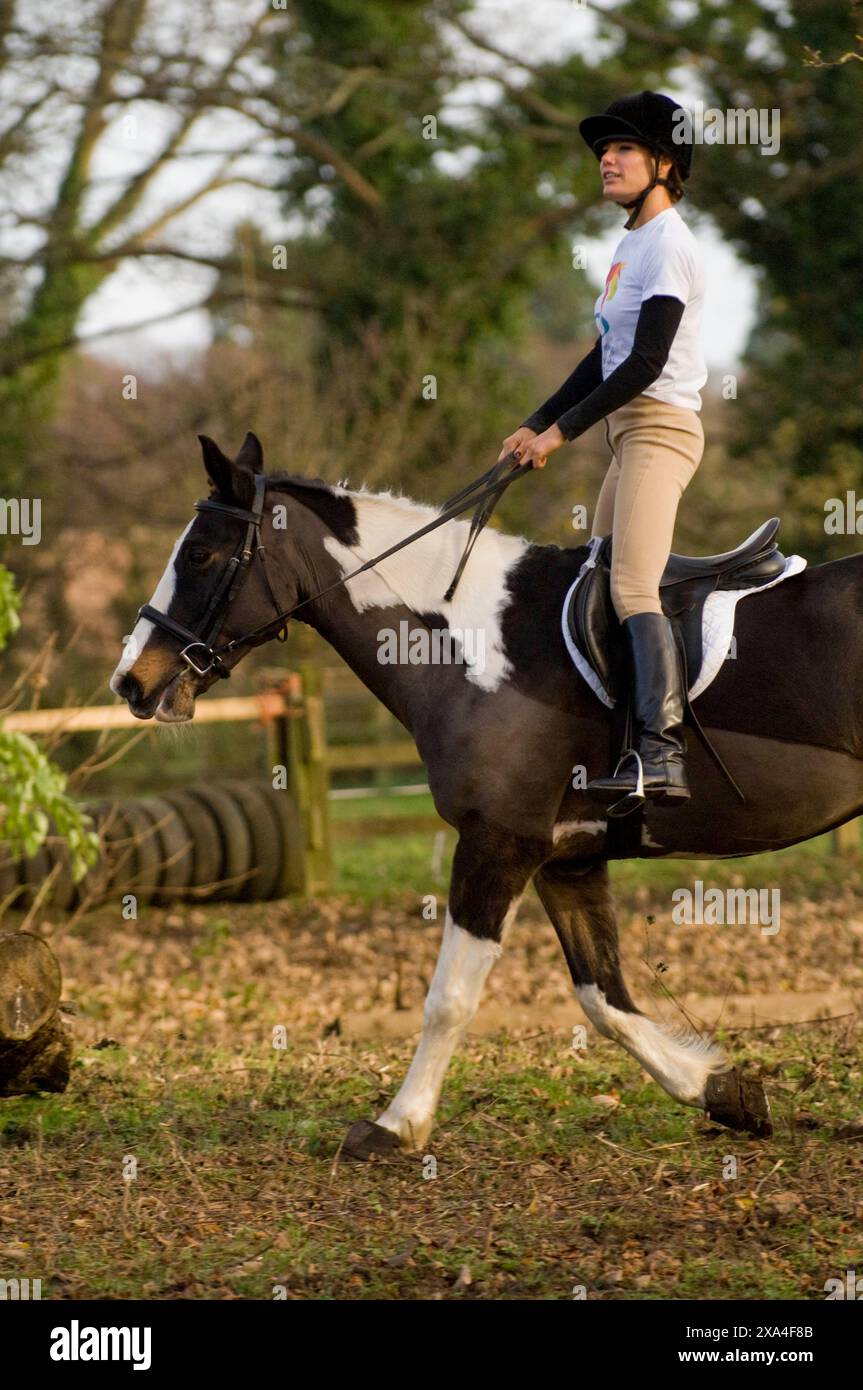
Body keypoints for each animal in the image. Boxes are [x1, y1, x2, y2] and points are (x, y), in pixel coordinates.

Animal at [110, 432, 863, 1156]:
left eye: (200, 554)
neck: (471, 646)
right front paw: (722, 1091)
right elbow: (604, 997)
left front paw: (395, 1126)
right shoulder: (566, 859)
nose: (130, 682)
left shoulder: (498, 841)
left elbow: (449, 997)